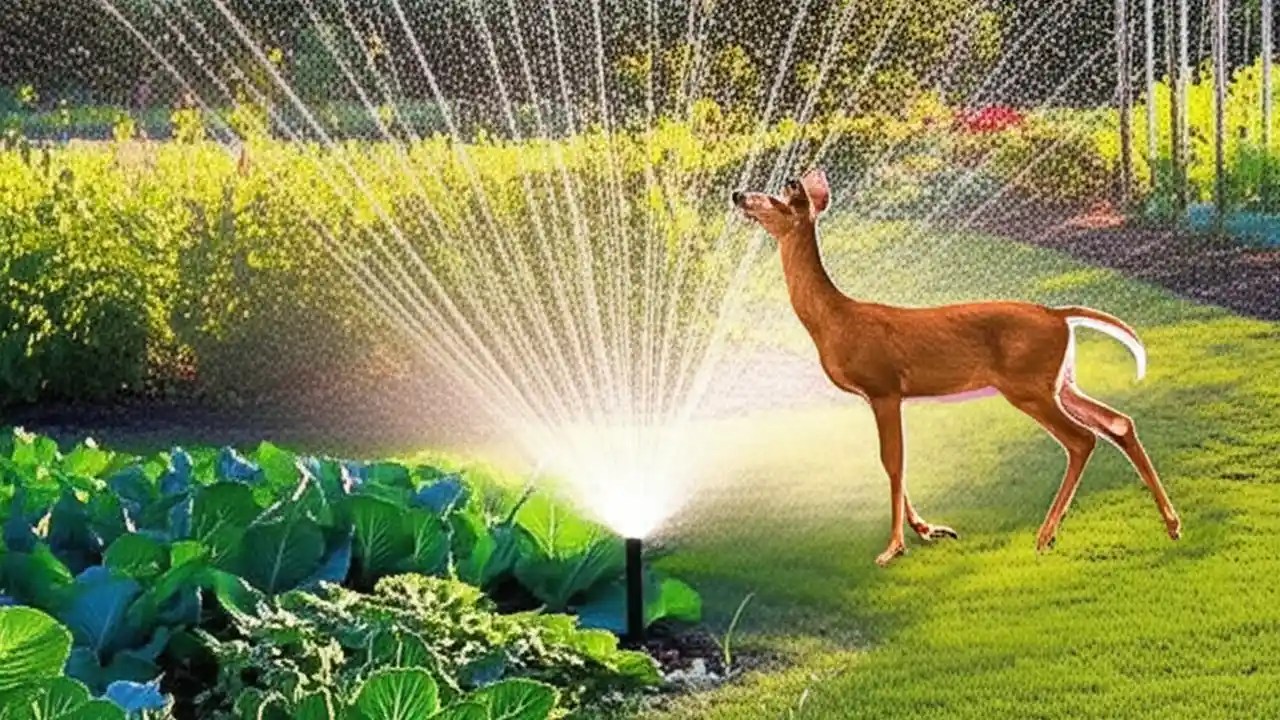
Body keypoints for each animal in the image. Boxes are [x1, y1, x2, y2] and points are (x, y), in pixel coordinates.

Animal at [731, 169, 1181, 566]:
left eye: (779, 197)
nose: (737, 194)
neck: (836, 320)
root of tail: (1059, 315)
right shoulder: (877, 396)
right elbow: (889, 460)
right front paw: (928, 530)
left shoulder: (884, 387)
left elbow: (893, 461)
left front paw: (893, 548)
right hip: (1060, 382)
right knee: (1119, 422)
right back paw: (1171, 524)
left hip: (1028, 386)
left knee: (1082, 439)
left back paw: (1046, 535)